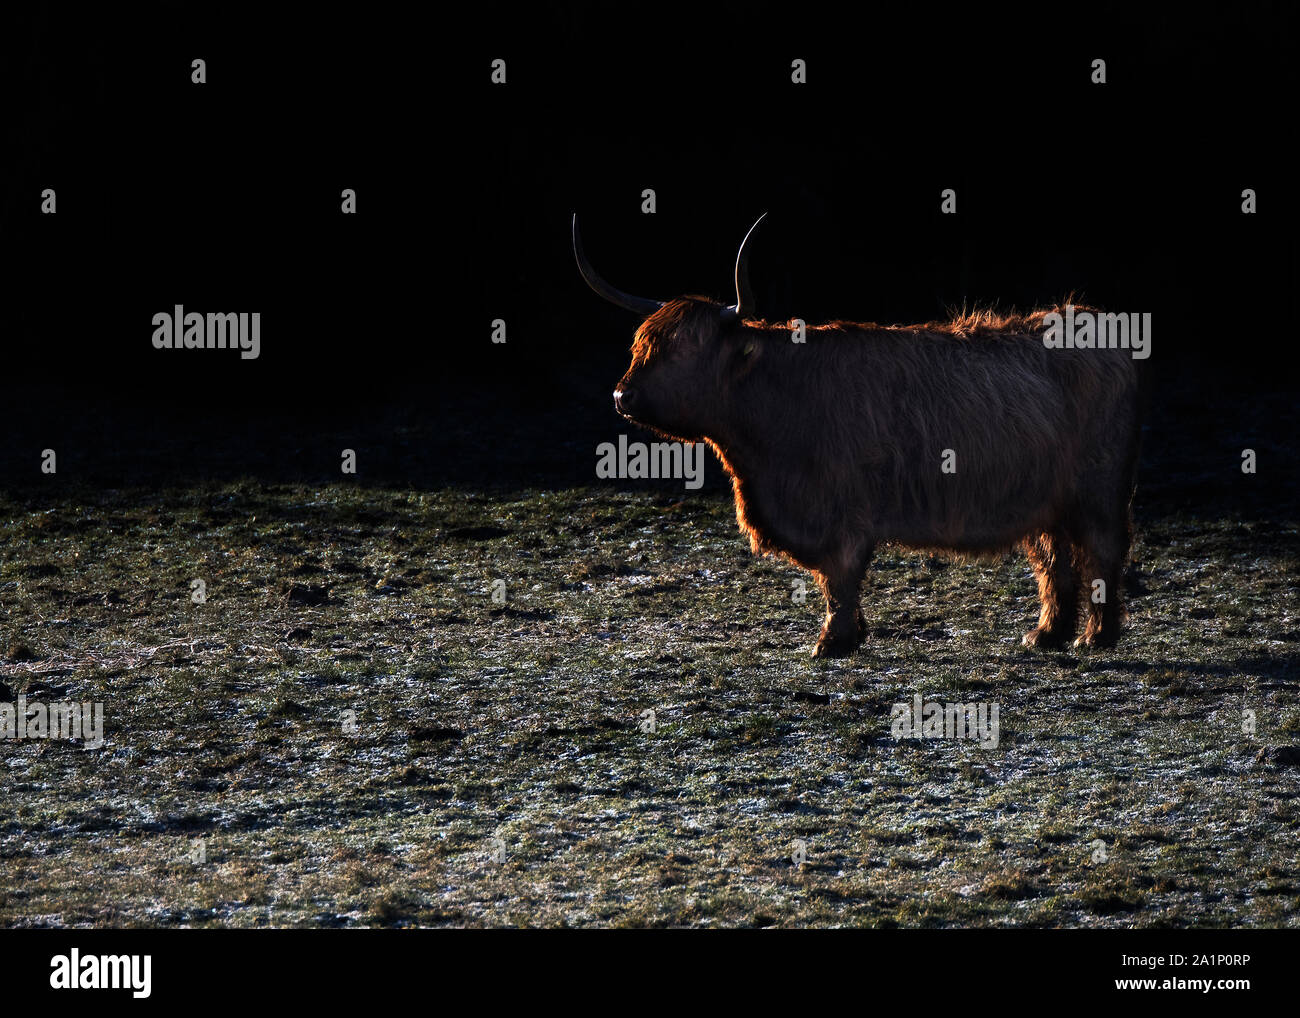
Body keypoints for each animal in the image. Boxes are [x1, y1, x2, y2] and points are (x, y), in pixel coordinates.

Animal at [573, 214, 1144, 658]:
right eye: (641, 345)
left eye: (685, 350)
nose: (622, 395)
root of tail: (1089, 320)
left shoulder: (841, 507)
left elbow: (840, 575)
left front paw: (834, 640)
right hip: (1048, 496)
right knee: (1055, 557)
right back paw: (1047, 634)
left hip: (1098, 489)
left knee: (1102, 552)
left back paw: (1096, 637)